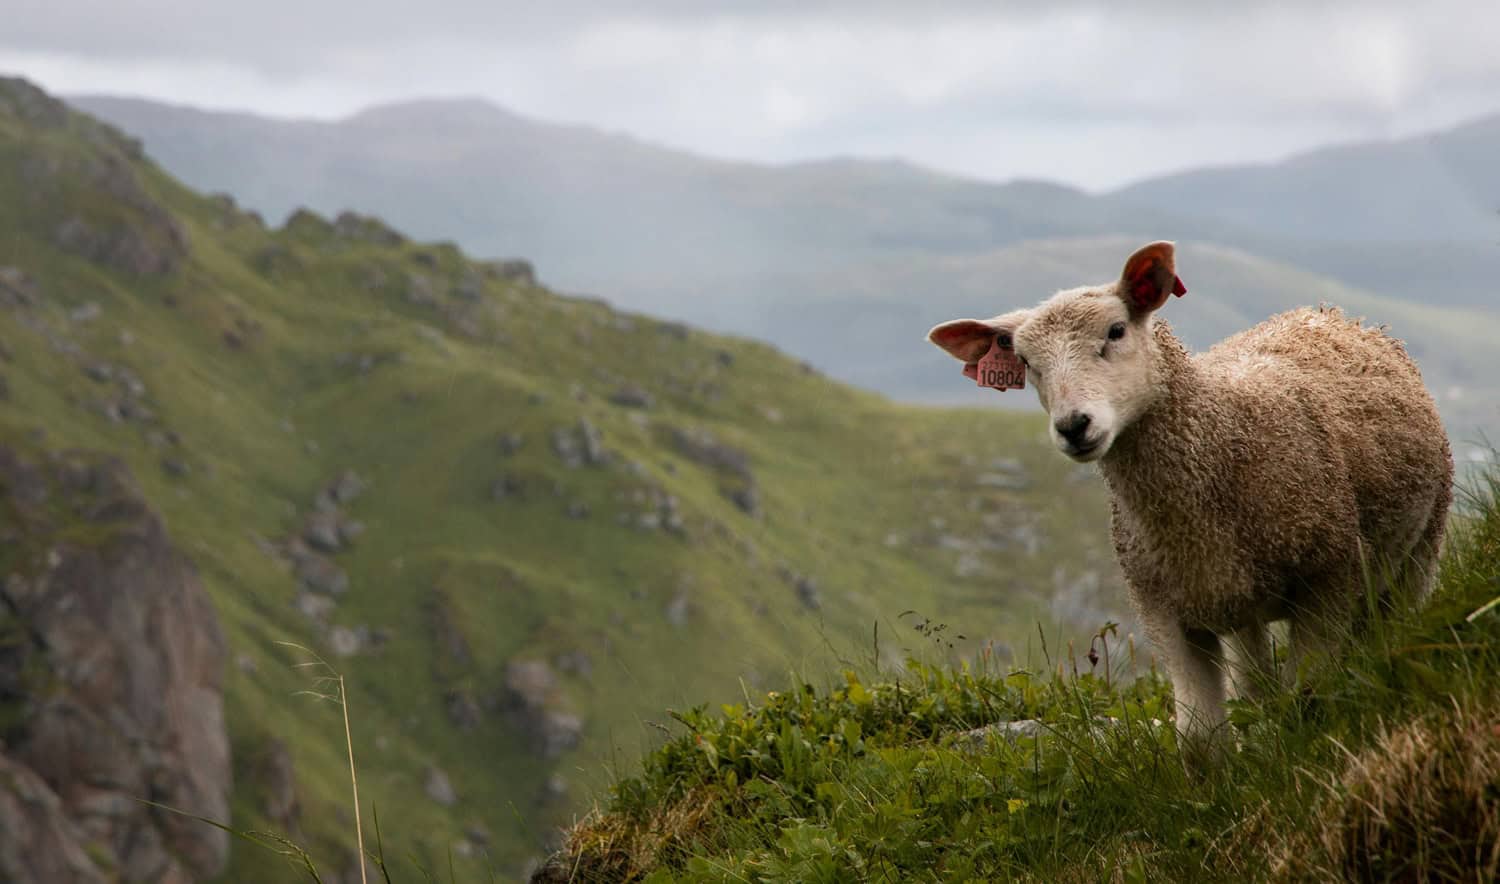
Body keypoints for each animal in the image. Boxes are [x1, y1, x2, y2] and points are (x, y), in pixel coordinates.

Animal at [927, 241, 1453, 751]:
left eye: (1116, 331)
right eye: (1025, 363)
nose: (1073, 426)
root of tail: (1326, 312)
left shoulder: (1330, 577)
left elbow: (1308, 699)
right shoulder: (1166, 609)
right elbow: (1200, 738)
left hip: (1421, 544)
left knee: (1395, 623)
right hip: (1237, 599)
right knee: (1254, 681)